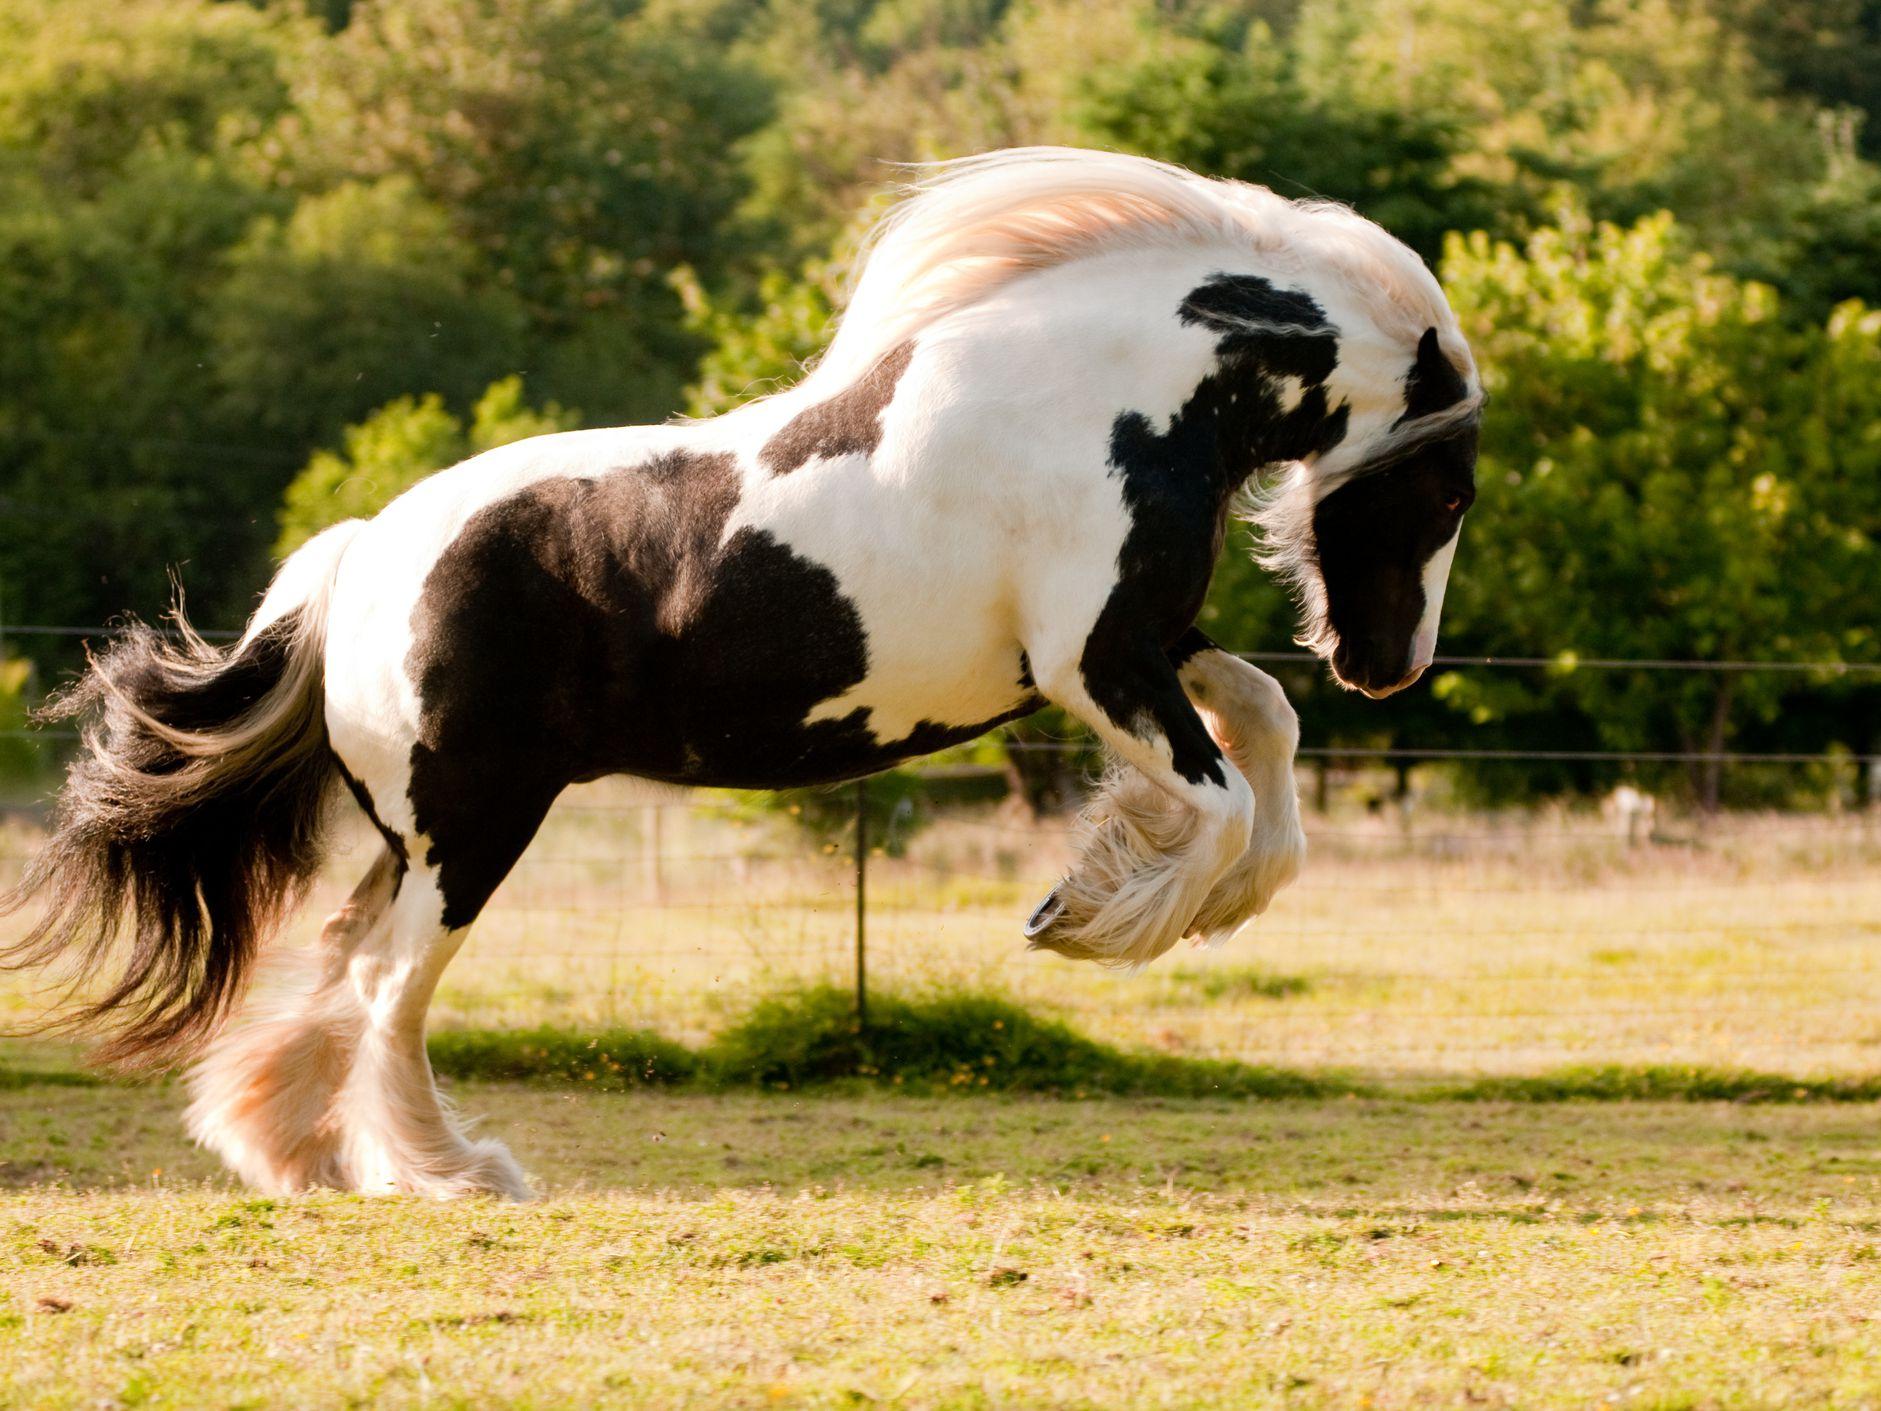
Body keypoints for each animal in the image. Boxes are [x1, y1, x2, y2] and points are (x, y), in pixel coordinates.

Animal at [2, 147, 1482, 1198]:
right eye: (1451, 489)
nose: (1385, 666)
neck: (1104, 395)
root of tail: (361, 556)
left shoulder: (1144, 646)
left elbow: (1265, 732)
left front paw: (1151, 897)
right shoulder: (1093, 662)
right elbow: (1222, 797)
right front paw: (1090, 914)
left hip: (407, 836)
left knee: (342, 968)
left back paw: (297, 1152)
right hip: (472, 829)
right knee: (385, 990)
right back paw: (452, 1172)